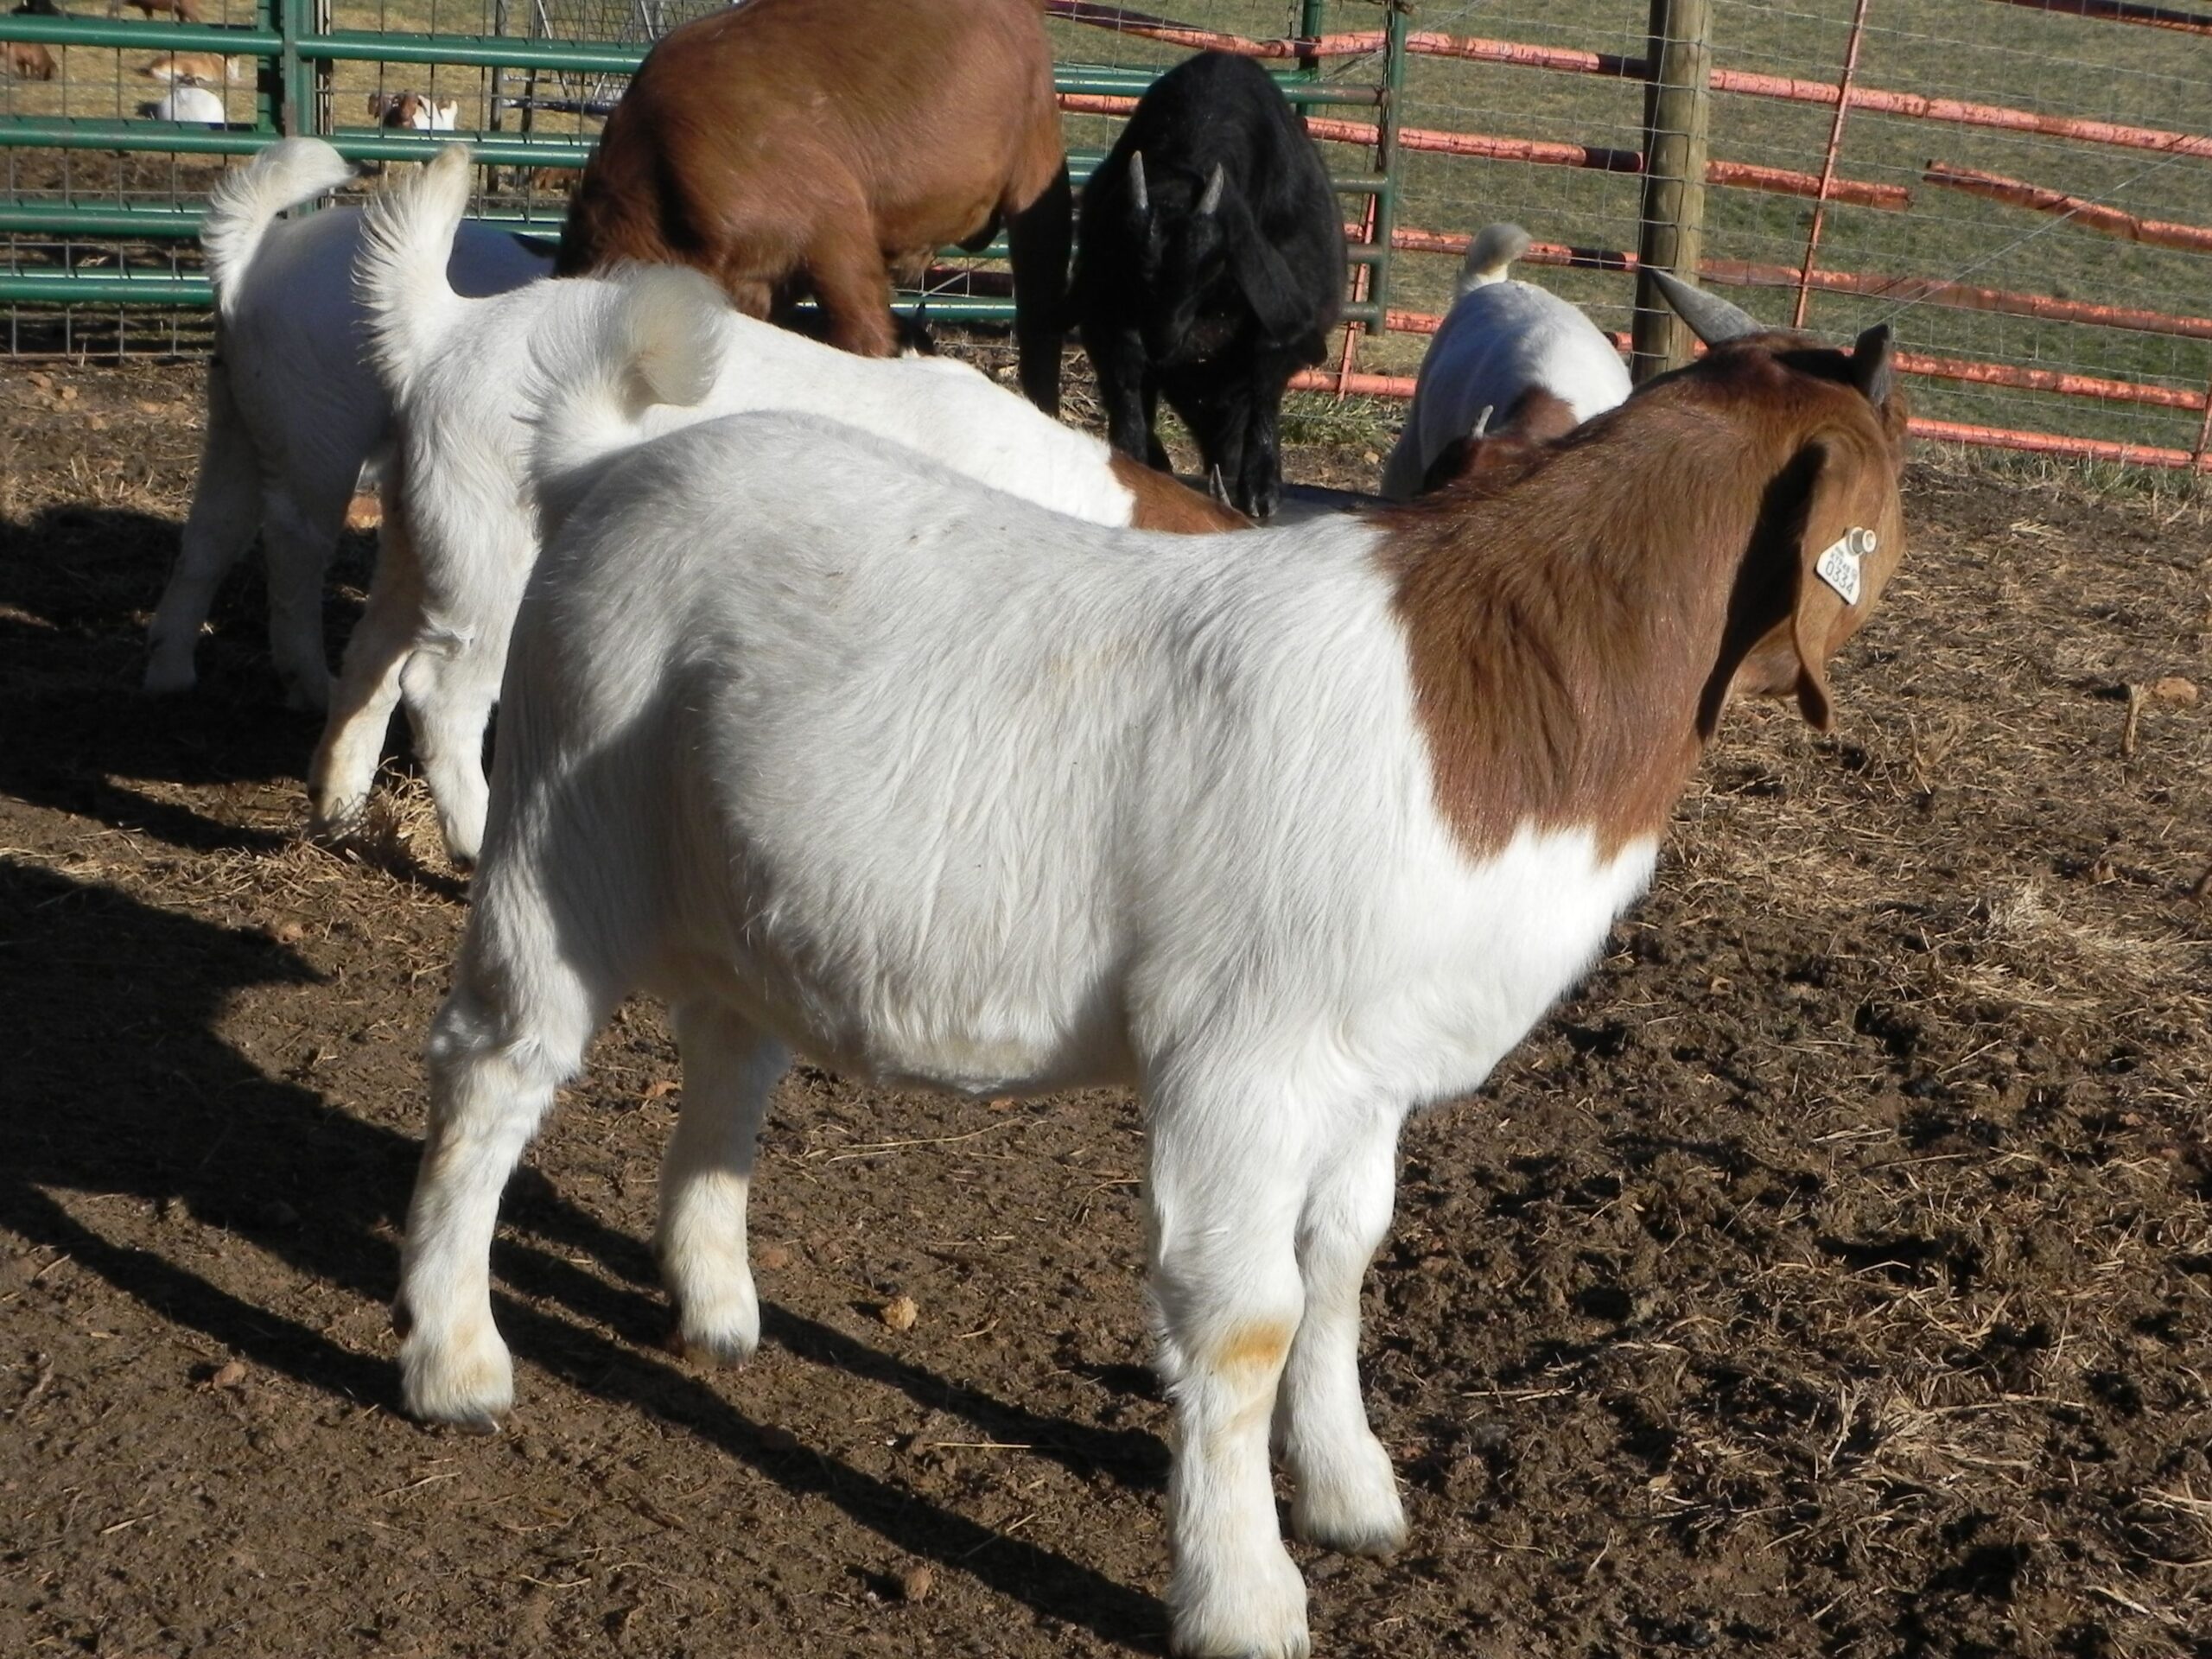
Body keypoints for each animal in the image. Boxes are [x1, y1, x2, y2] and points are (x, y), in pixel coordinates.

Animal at [144, 138, 548, 708]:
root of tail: (252, 259)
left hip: (242, 414)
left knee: (213, 531)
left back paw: (170, 675)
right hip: (318, 432)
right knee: (294, 543)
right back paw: (313, 687)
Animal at [309, 144, 1242, 864]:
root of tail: (446, 329)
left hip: (418, 536)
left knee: (372, 655)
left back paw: (338, 805)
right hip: (492, 559)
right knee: (439, 687)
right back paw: (470, 840)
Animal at [392, 275, 1908, 1657]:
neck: (1478, 699)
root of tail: (601, 466)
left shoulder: (1369, 1065)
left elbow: (1345, 1260)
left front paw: (1353, 1492)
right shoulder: (1243, 1058)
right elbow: (1246, 1321)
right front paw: (1245, 1599)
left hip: (739, 877)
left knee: (730, 1046)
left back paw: (714, 1307)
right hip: (564, 826)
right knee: (498, 1059)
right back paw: (455, 1359)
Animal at [1073, 50, 1348, 522]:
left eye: (1215, 263)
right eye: (1132, 264)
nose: (1164, 342)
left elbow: (1266, 374)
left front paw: (1261, 487)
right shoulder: (1110, 313)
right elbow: (1126, 378)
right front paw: (1135, 461)